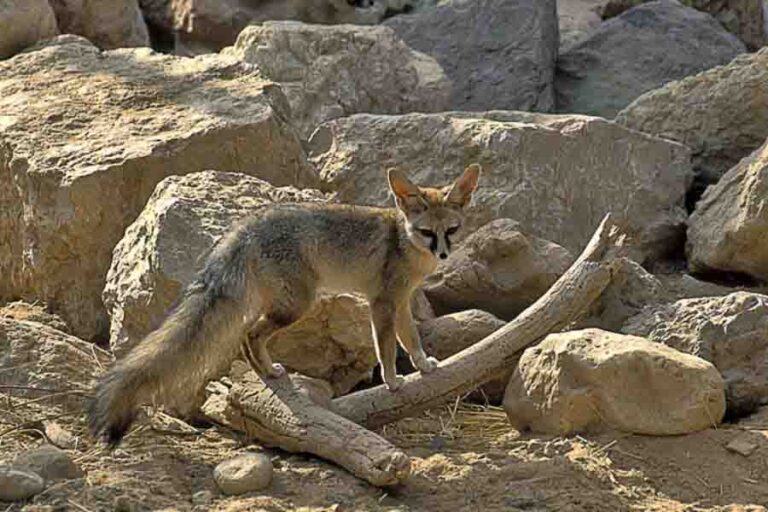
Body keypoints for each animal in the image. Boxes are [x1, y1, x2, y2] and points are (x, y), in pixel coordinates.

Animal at [88, 164, 482, 447]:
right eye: (427, 233)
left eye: (451, 230)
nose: (443, 255)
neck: (403, 242)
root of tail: (247, 225)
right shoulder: (382, 303)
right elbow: (386, 347)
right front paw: (392, 381)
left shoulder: (400, 304)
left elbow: (411, 339)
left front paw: (424, 366)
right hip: (298, 305)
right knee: (249, 333)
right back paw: (268, 372)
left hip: (282, 303)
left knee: (247, 335)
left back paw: (265, 374)